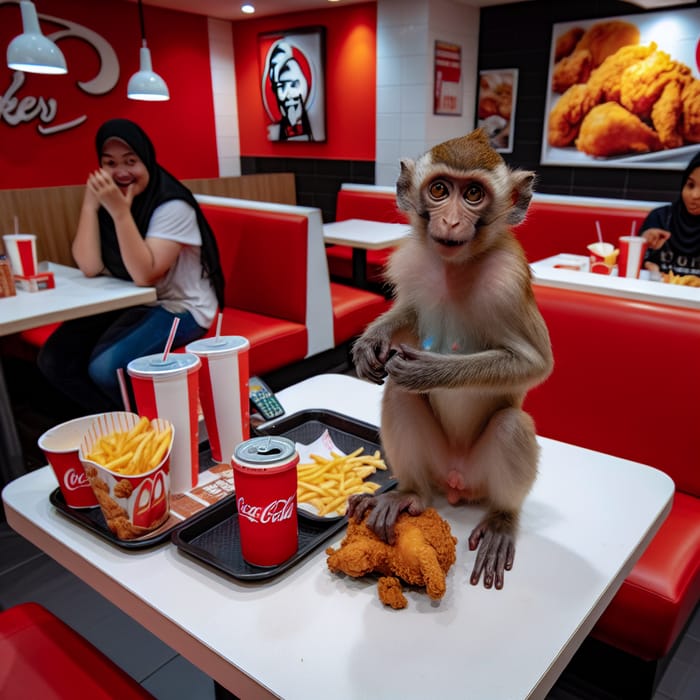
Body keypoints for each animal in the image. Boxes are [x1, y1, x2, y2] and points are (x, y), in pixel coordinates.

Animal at [348, 128, 553, 590]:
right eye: (440, 190)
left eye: (473, 194)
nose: (453, 221)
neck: (455, 266)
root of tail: (457, 483)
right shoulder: (411, 263)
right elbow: (408, 311)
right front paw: (372, 340)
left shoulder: (509, 280)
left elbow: (536, 363)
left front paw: (428, 369)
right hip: (436, 464)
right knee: (398, 396)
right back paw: (408, 495)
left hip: (479, 475)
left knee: (510, 425)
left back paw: (501, 519)